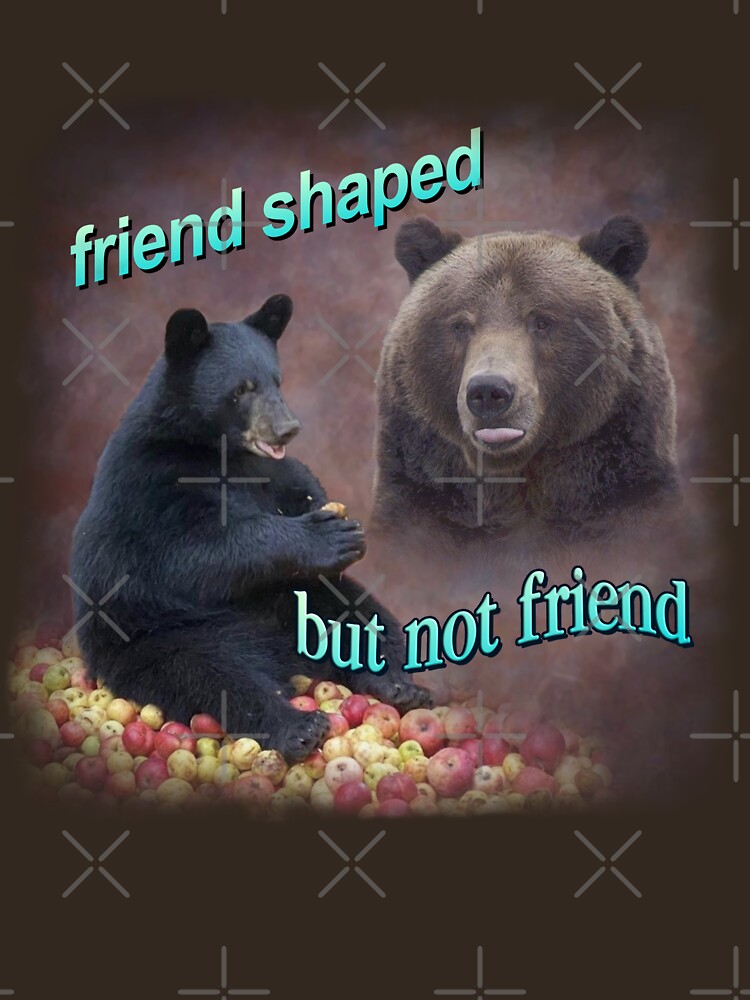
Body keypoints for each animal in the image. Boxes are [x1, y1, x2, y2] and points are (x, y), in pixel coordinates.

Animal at [70, 294, 430, 761]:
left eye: (276, 381)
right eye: (241, 389)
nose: (287, 429)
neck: (216, 450)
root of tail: (287, 657)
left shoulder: (267, 471)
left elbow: (295, 481)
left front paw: (335, 517)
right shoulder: (152, 484)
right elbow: (188, 556)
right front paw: (325, 536)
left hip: (304, 599)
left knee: (363, 615)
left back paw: (397, 685)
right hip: (160, 636)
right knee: (215, 674)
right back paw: (297, 726)